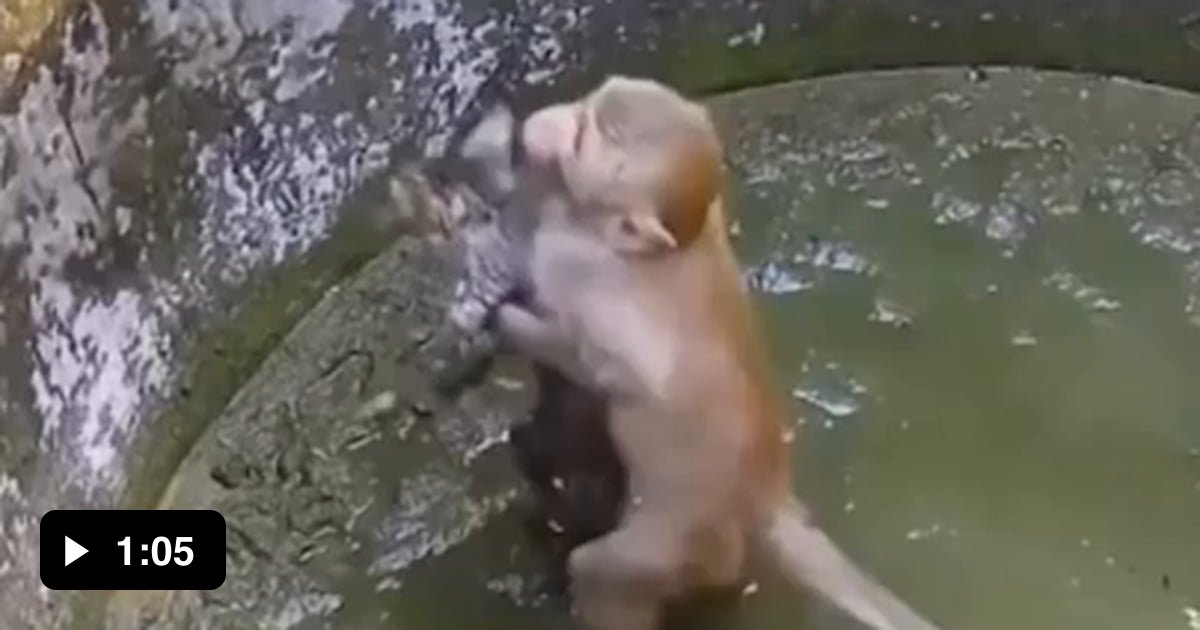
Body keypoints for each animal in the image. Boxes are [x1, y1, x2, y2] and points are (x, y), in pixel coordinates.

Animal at [493, 75, 943, 630]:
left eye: (582, 139)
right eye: (589, 103)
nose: (547, 118)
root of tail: (768, 499)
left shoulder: (584, 274)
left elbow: (602, 367)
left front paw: (506, 322)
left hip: (681, 546)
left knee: (603, 569)